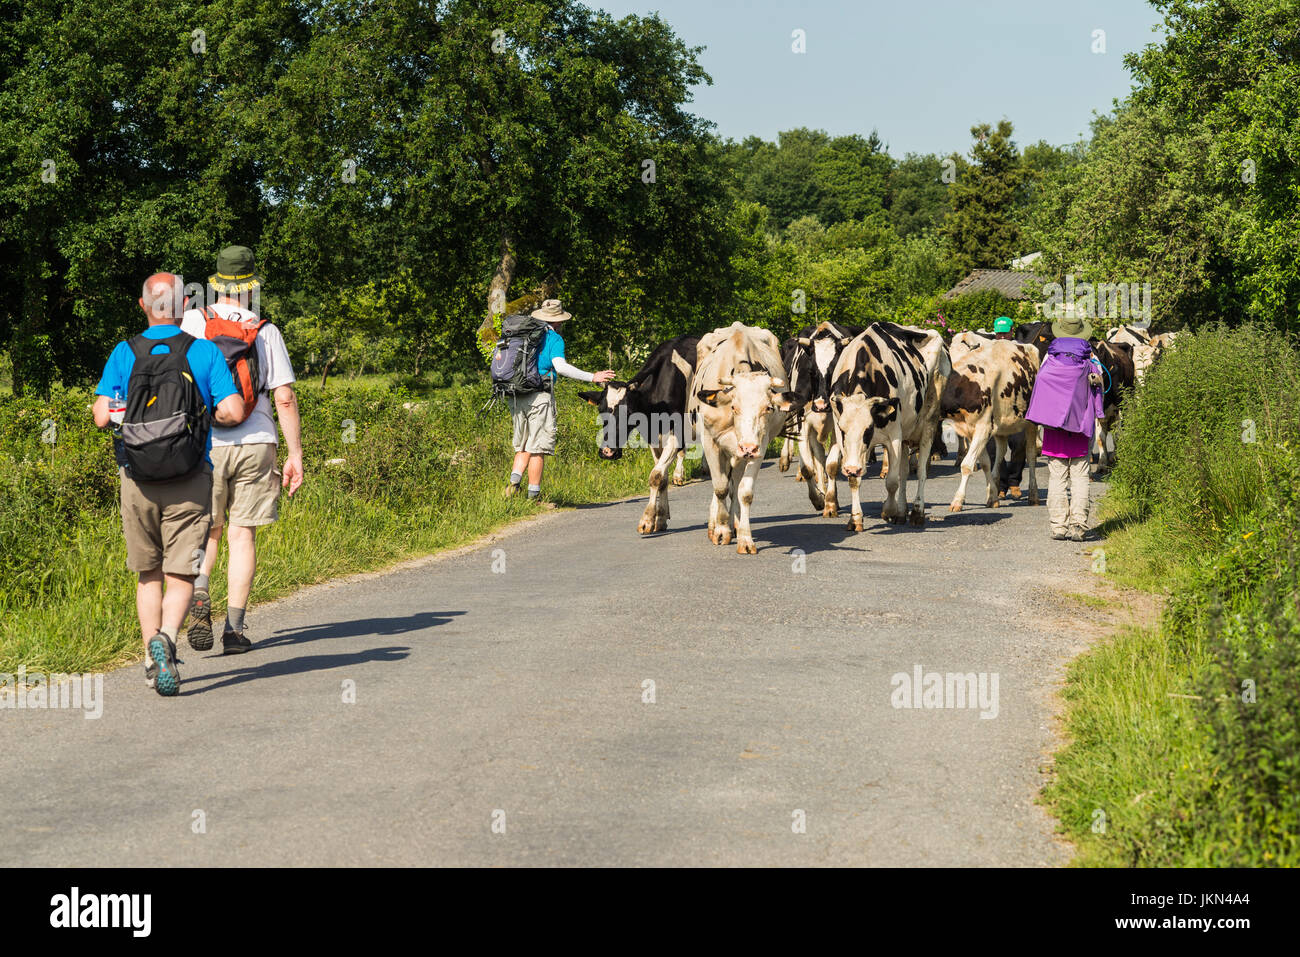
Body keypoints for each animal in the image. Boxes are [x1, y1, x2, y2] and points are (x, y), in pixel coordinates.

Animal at [579, 334, 700, 535]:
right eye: (600, 410)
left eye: (629, 412)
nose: (607, 452)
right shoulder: (653, 437)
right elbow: (662, 476)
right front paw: (661, 519)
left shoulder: (677, 435)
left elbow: (656, 476)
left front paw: (647, 520)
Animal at [690, 322, 794, 554]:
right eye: (734, 407)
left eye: (768, 408)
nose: (747, 447)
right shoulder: (711, 442)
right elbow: (720, 487)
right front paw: (720, 531)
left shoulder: (759, 446)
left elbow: (744, 492)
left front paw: (745, 539)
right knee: (723, 484)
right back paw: (716, 525)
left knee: (735, 484)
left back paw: (735, 523)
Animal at [778, 321, 864, 516]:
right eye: (811, 371)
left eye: (835, 368)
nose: (821, 405)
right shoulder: (803, 424)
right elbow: (808, 468)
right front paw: (818, 499)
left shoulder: (838, 425)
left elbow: (831, 465)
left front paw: (830, 503)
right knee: (817, 459)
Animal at [830, 322, 951, 530]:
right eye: (844, 431)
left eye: (868, 430)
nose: (852, 468)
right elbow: (855, 480)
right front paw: (855, 518)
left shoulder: (894, 435)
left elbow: (892, 481)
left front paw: (888, 511)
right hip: (906, 434)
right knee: (904, 472)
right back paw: (902, 512)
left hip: (929, 422)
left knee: (921, 471)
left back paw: (916, 512)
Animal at [940, 339, 1041, 512]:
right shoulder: (971, 430)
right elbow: (986, 463)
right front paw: (992, 497)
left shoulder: (983, 428)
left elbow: (967, 465)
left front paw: (957, 501)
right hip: (1002, 426)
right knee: (1001, 452)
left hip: (1031, 424)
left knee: (1031, 454)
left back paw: (1033, 495)